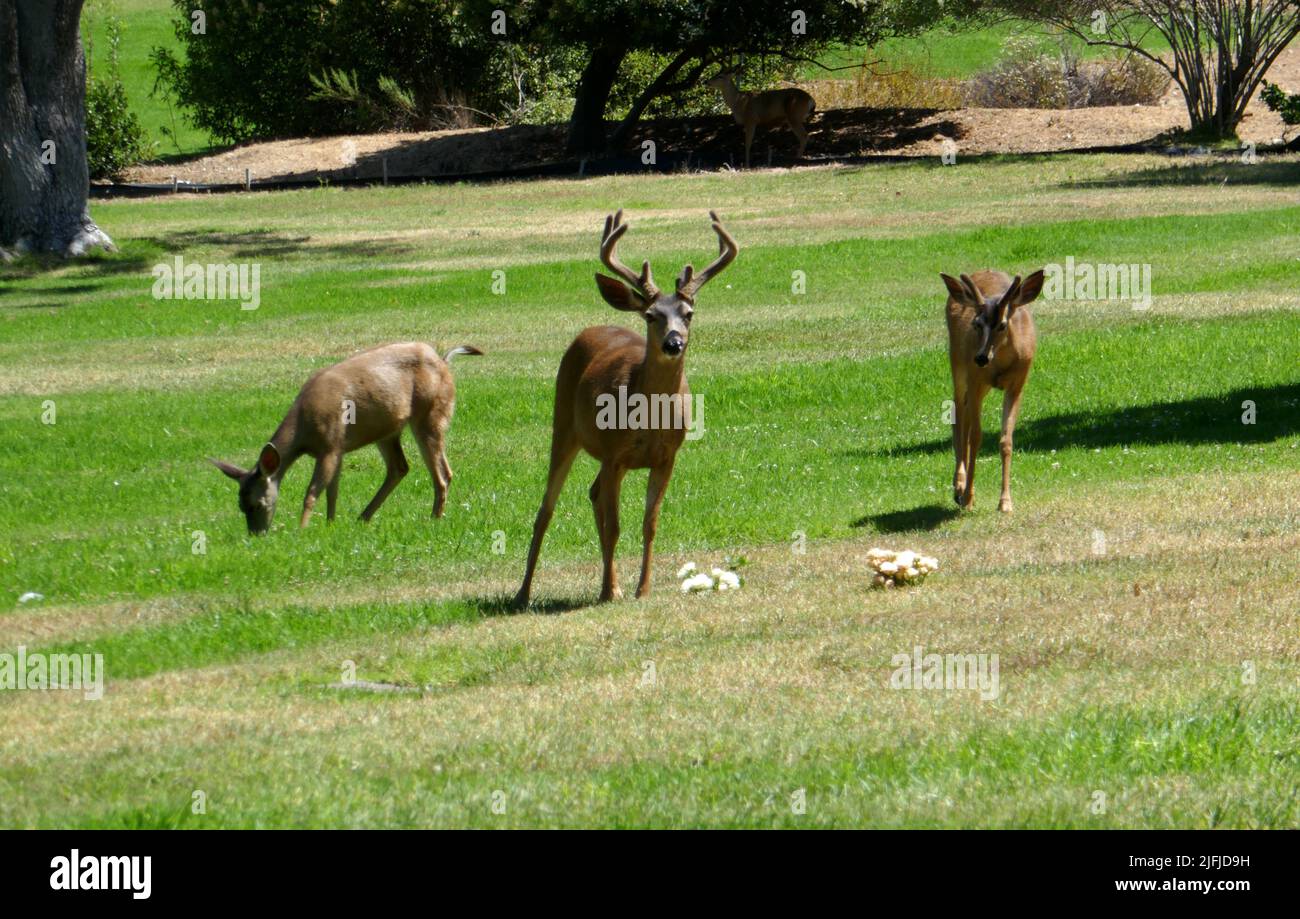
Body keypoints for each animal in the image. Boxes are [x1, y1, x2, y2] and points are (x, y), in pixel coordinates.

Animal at [211, 342, 482, 533]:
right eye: (240, 506)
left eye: (257, 504)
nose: (256, 535)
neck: (304, 429)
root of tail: (444, 361)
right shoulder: (338, 449)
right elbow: (333, 491)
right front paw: (330, 525)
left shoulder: (330, 444)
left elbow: (312, 491)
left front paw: (302, 529)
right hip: (387, 431)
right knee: (401, 467)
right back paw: (364, 517)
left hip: (430, 414)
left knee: (442, 473)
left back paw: (434, 517)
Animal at [512, 209, 738, 608]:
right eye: (651, 315)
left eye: (689, 313)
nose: (673, 343)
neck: (649, 419)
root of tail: (591, 329)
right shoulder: (614, 454)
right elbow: (615, 525)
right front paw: (607, 591)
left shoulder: (666, 457)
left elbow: (650, 523)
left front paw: (641, 589)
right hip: (564, 425)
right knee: (547, 509)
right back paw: (524, 594)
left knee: (592, 493)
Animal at [941, 269, 1045, 514]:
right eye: (976, 324)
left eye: (1003, 325)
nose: (980, 357)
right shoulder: (975, 379)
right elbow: (976, 436)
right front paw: (968, 497)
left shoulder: (1018, 383)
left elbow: (1006, 440)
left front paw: (1005, 502)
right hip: (958, 364)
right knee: (959, 413)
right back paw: (959, 486)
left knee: (964, 414)